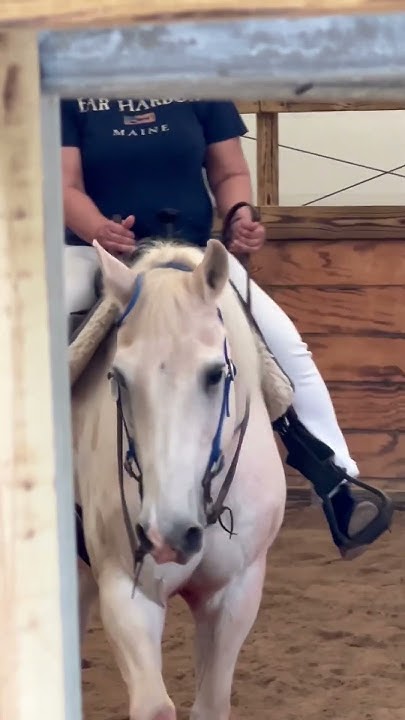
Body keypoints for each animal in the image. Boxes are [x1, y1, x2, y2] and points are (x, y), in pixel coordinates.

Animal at [72, 237, 287, 720]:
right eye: (118, 377)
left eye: (214, 374)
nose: (164, 535)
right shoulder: (125, 592)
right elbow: (155, 707)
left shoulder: (235, 594)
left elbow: (211, 705)